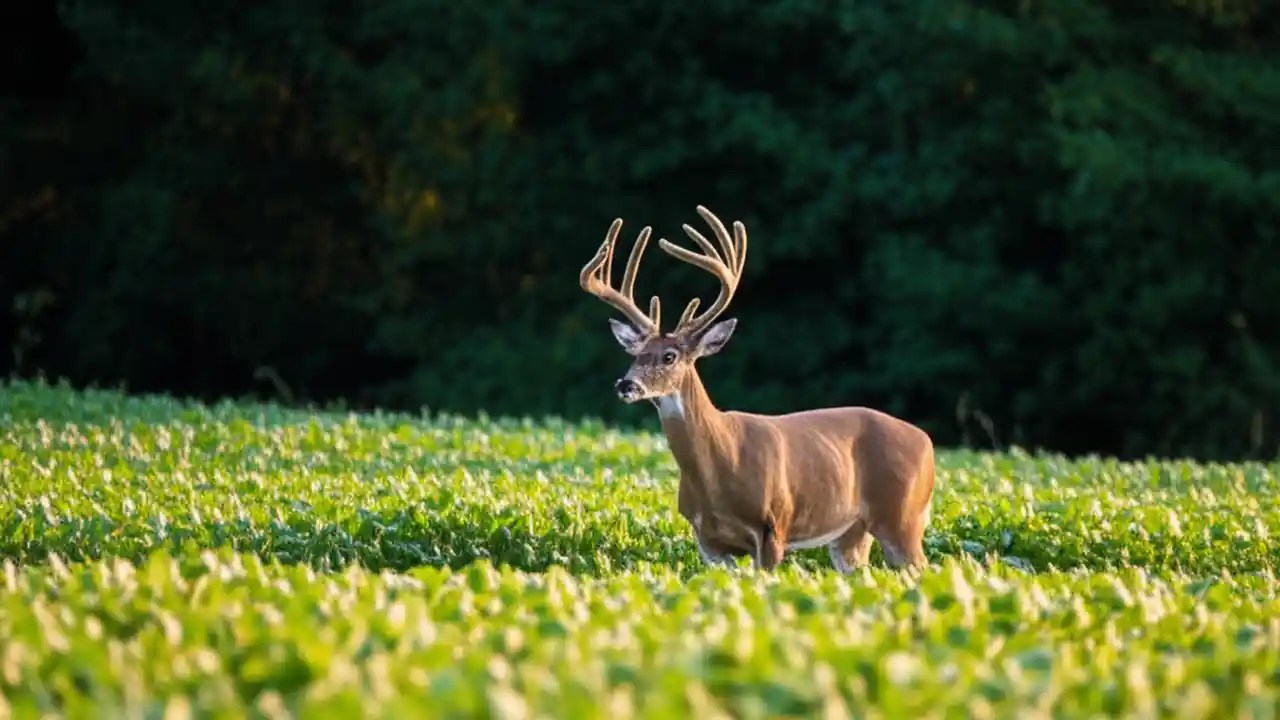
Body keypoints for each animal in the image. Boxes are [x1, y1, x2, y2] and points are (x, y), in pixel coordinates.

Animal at [579, 205, 936, 572]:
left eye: (669, 356)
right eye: (635, 355)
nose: (626, 384)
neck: (720, 462)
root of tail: (927, 441)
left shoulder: (773, 526)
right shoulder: (708, 541)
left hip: (904, 515)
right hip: (852, 533)